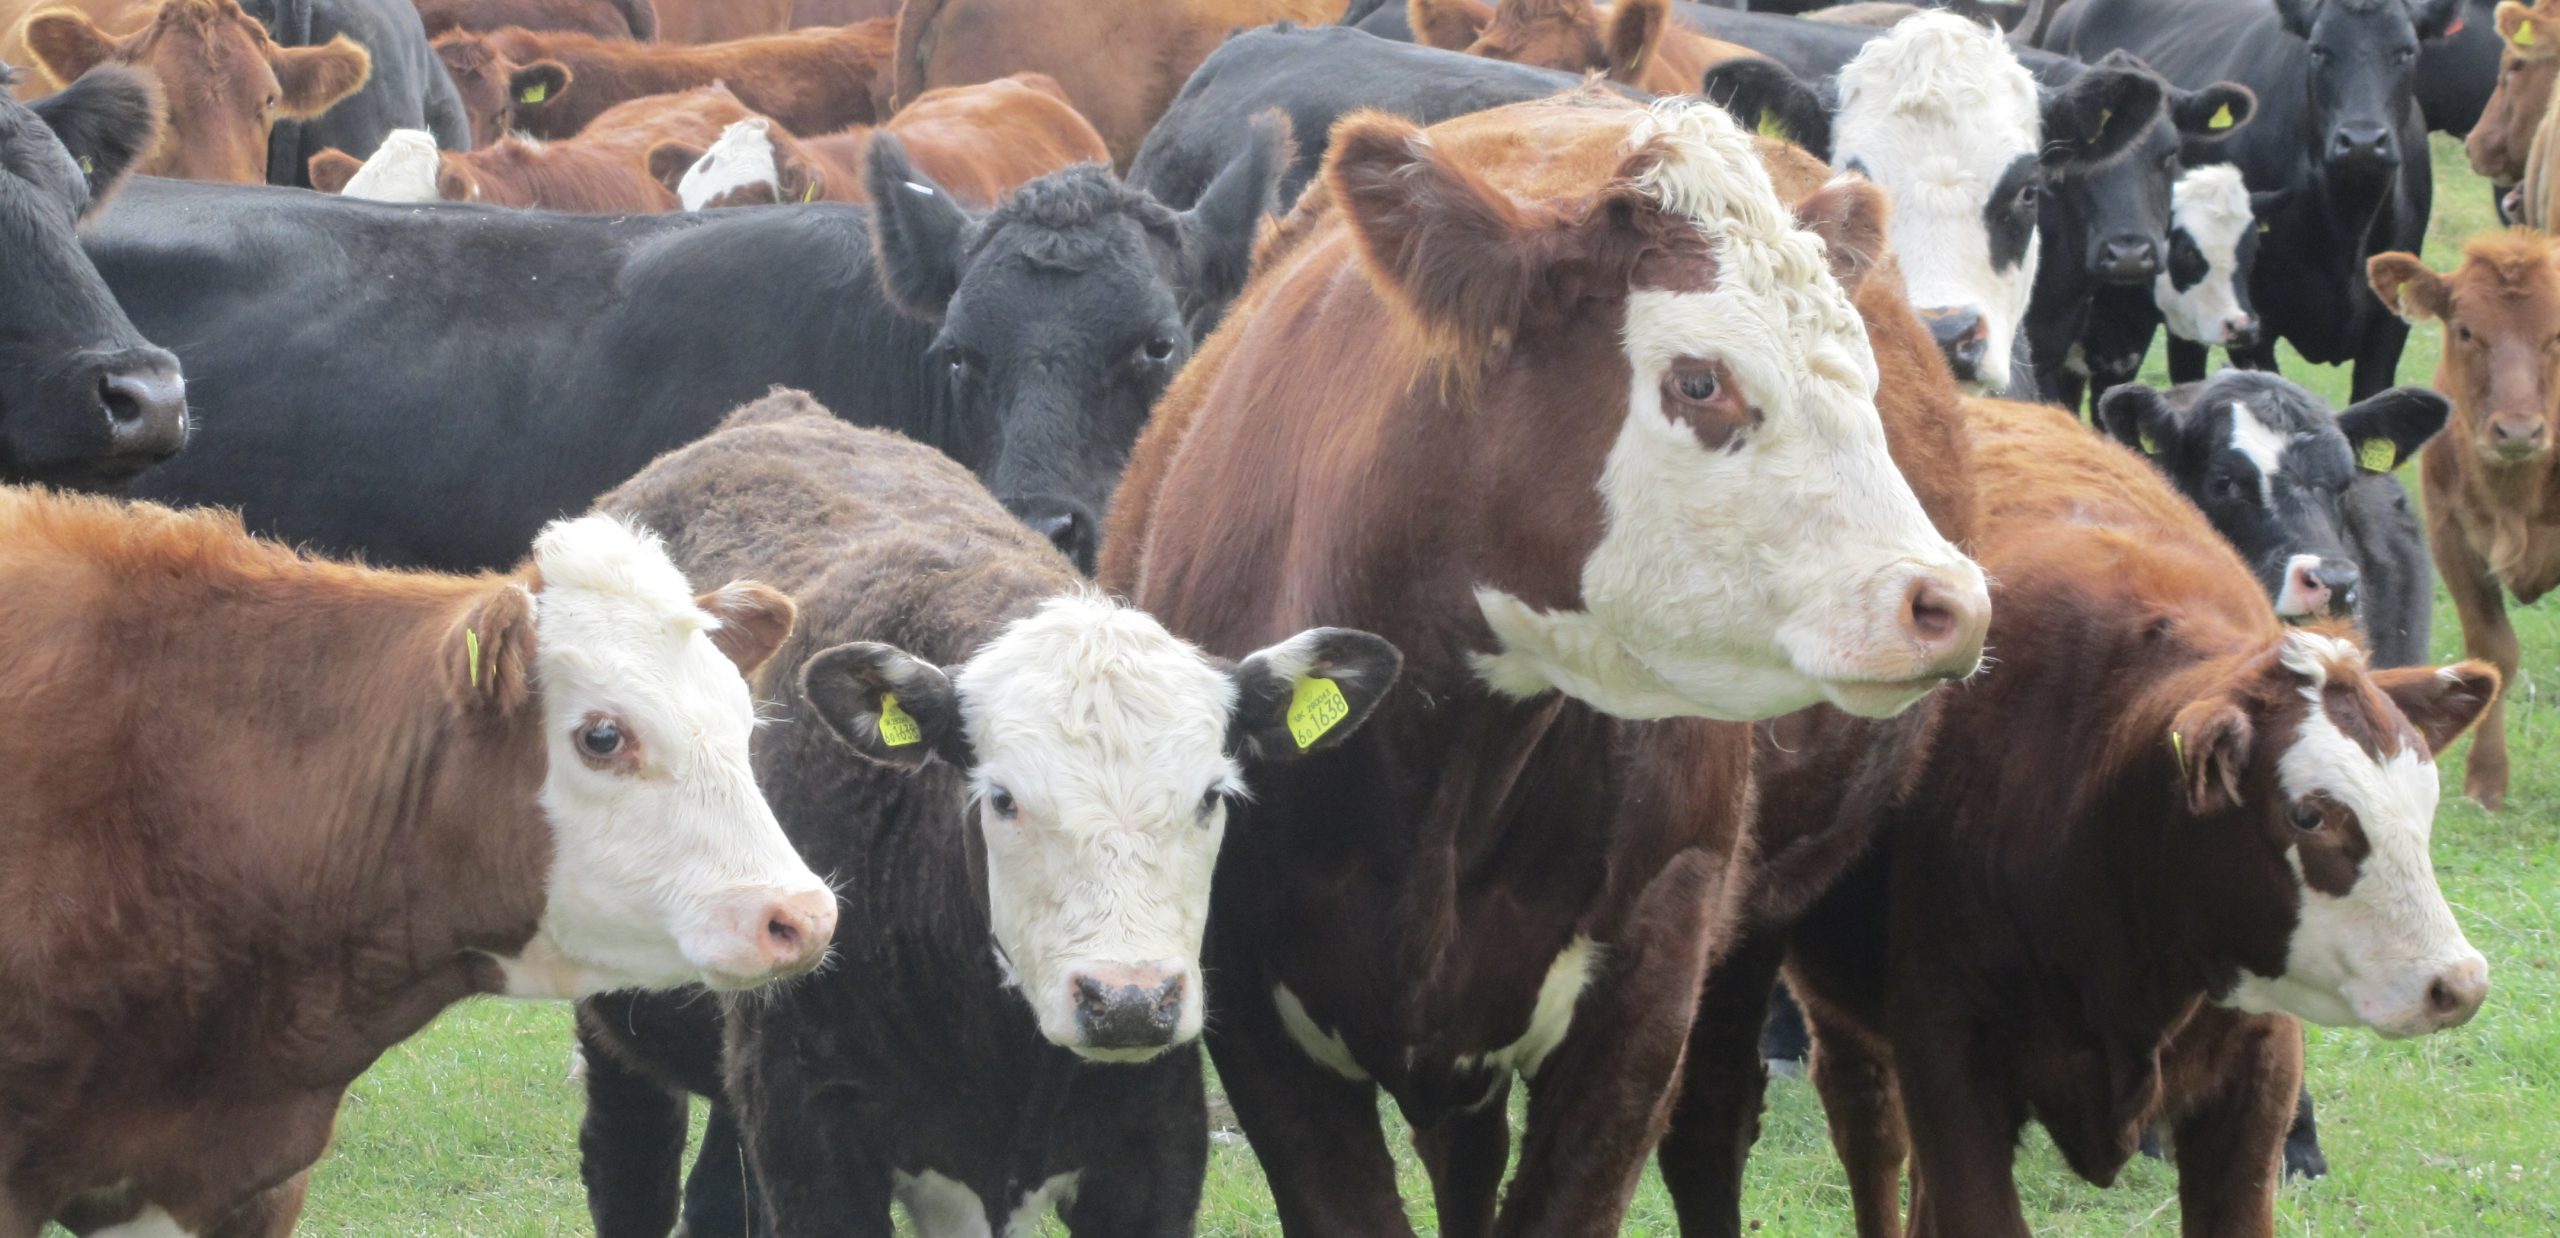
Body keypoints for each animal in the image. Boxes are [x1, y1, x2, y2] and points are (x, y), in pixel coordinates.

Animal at [569, 390, 1400, 1238]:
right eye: (1003, 798)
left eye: (1212, 795)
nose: (1128, 1002)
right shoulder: (811, 1132)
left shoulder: (1154, 1143)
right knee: (628, 1163)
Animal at [1100, 88, 1989, 1235]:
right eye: (1699, 380)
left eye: (1864, 376)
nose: (1947, 601)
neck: (1441, 770)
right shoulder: (1250, 1008)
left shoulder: (1646, 990)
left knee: (1750, 1118)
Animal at [2044, 0, 2452, 402]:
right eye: (2319, 50)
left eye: (2407, 51)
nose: (2362, 141)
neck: (2346, 218)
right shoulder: (2253, 328)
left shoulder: (2387, 330)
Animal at [2369, 231, 2560, 810]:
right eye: (2467, 330)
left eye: (2556, 334)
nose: (2518, 430)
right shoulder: (2450, 537)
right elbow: (2494, 651)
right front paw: (2486, 779)